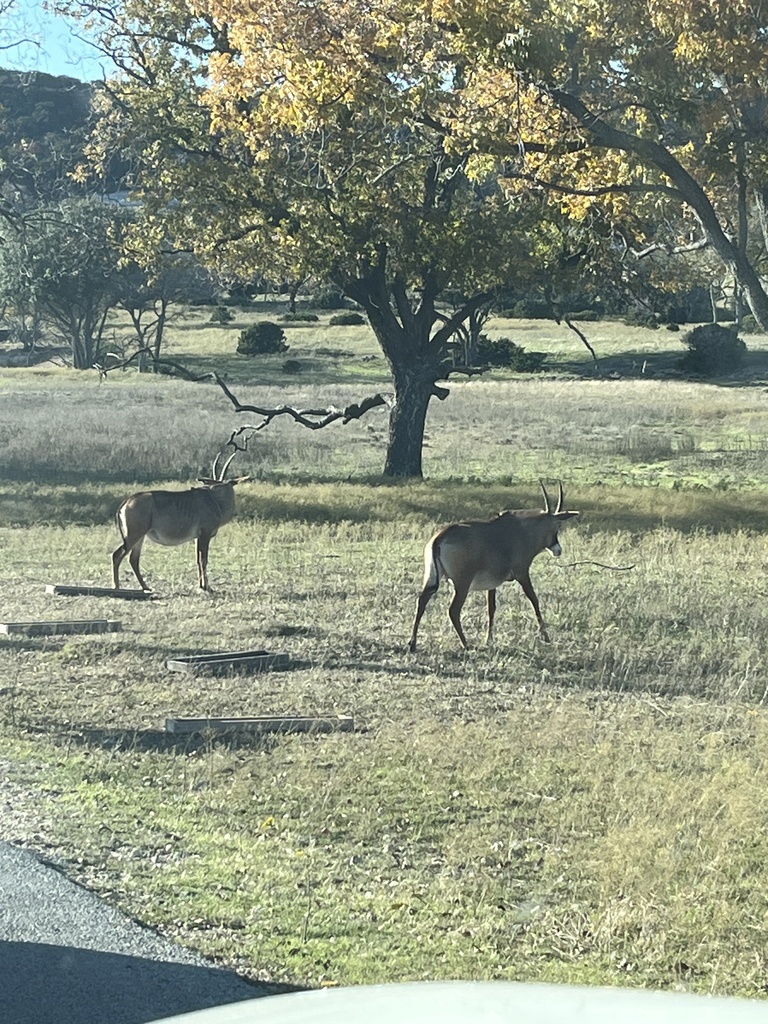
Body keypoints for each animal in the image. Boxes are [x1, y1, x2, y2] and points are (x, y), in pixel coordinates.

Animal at [111, 447, 249, 592]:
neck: (215, 500)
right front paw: (207, 587)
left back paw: (146, 587)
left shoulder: (198, 538)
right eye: (214, 485)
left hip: (140, 537)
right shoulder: (205, 535)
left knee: (134, 559)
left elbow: (198, 559)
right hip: (134, 535)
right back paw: (117, 587)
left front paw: (201, 585)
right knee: (117, 555)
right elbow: (203, 559)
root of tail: (126, 502)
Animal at [408, 481, 579, 652]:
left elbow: (491, 608)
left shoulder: (492, 584)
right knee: (453, 610)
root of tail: (439, 538)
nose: (558, 550)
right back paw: (466, 644)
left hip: (431, 578)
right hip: (462, 583)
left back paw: (413, 643)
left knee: (422, 601)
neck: (522, 531)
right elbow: (534, 600)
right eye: (558, 526)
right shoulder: (522, 573)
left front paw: (489, 640)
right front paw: (546, 637)